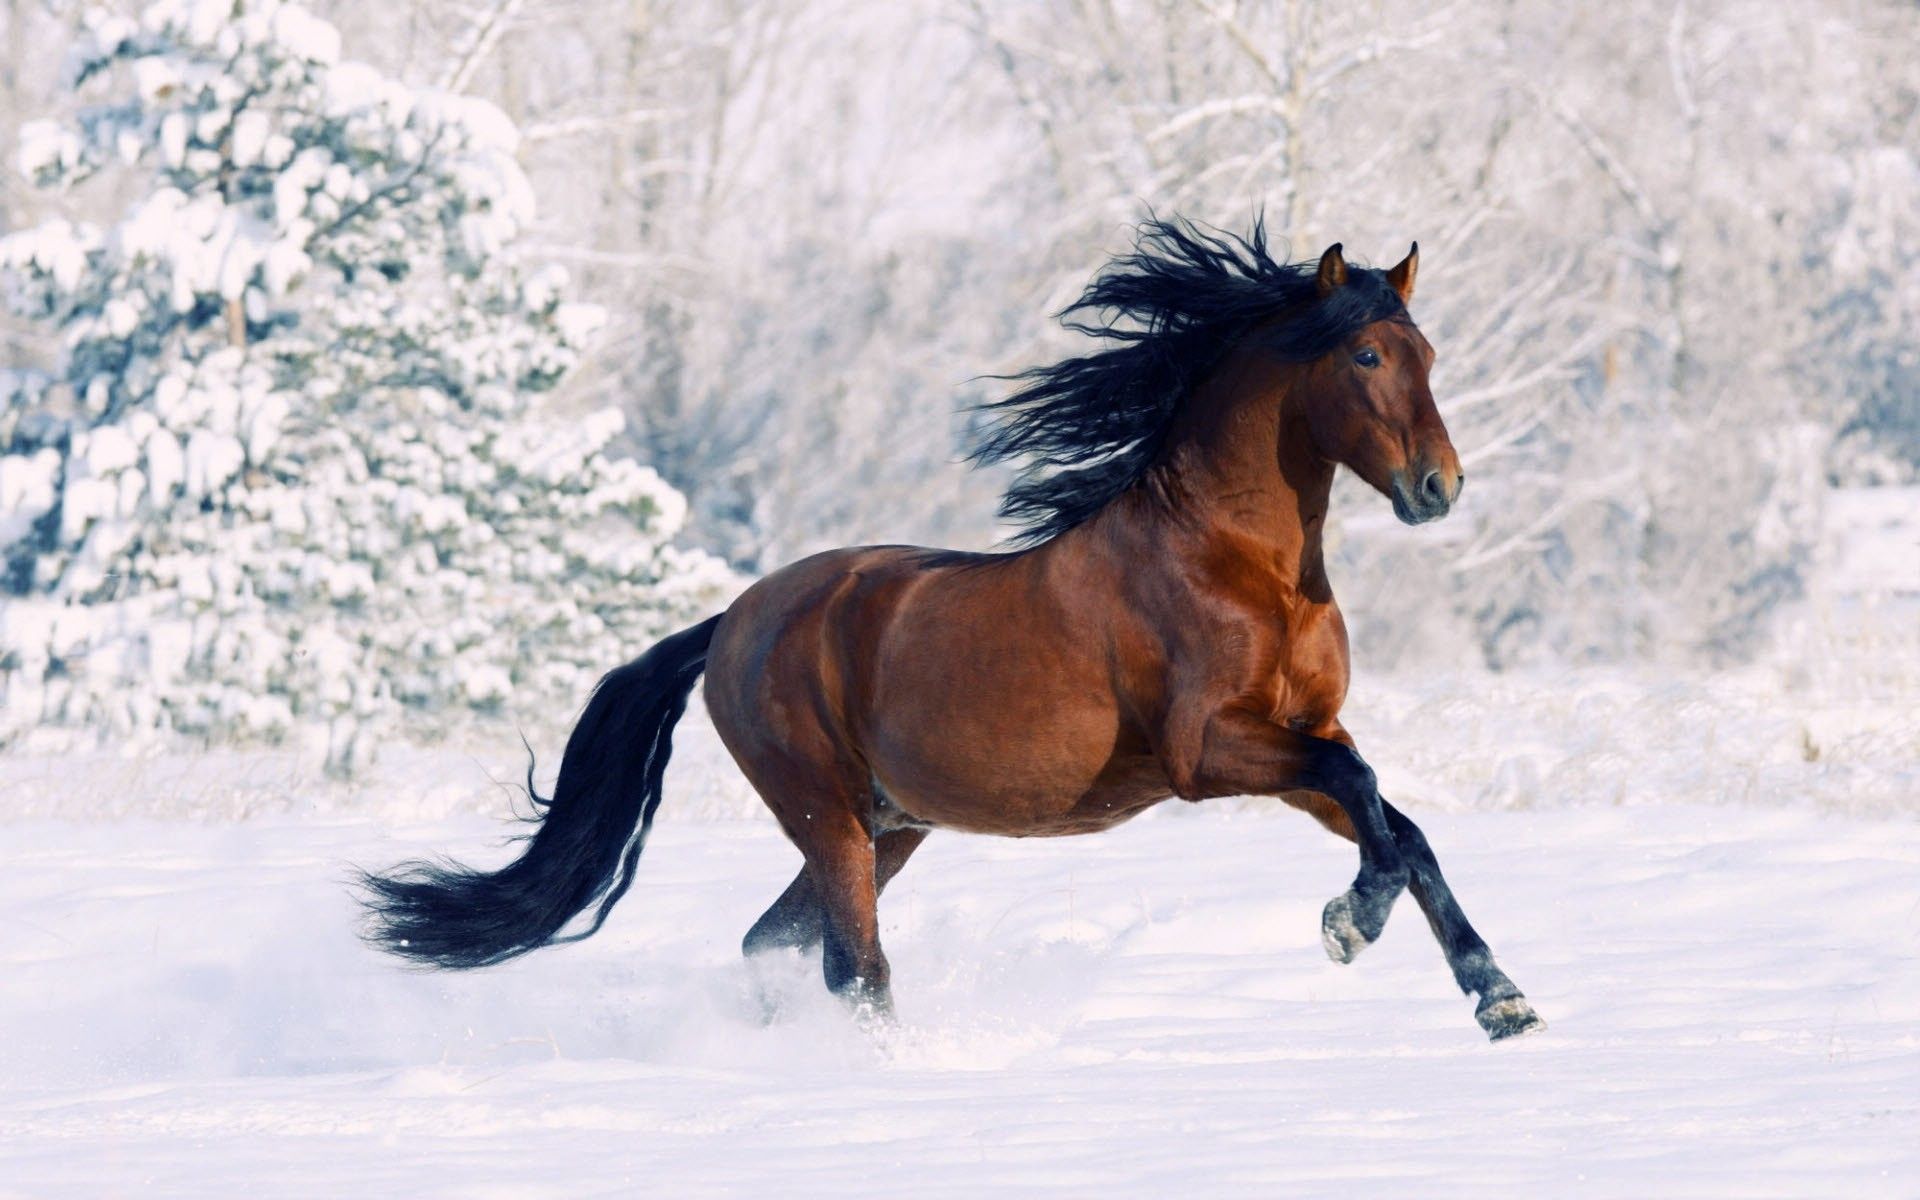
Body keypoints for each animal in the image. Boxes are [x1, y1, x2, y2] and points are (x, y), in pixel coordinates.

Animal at [361, 218, 1544, 1042]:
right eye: (1366, 360)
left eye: (1429, 354)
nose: (1439, 488)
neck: (1237, 563)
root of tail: (735, 619)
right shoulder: (1211, 752)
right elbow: (1372, 801)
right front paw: (1350, 925)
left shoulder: (1306, 738)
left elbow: (1400, 824)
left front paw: (1500, 997)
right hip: (828, 816)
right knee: (853, 966)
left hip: (891, 827)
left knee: (774, 943)